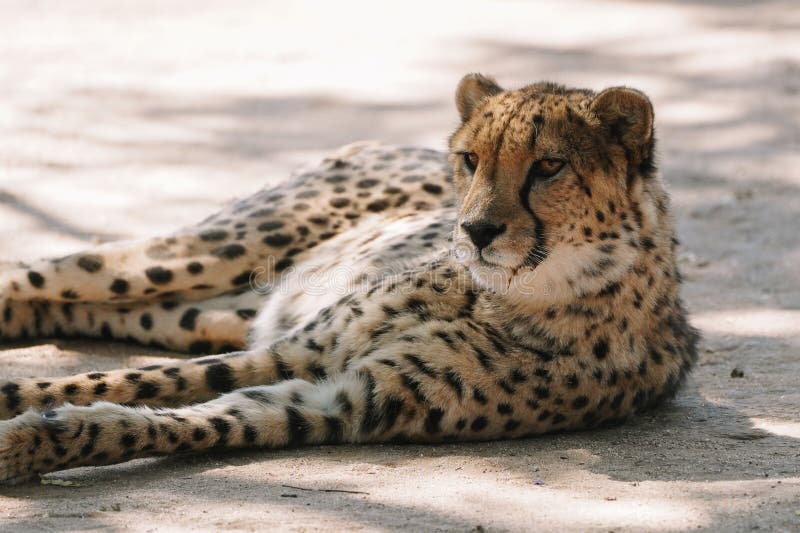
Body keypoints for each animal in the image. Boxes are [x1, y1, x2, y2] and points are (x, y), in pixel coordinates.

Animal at [0, 74, 698, 485]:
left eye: (549, 166)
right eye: (470, 159)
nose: (474, 231)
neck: (507, 295)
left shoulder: (344, 399)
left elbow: (195, 417)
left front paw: (33, 440)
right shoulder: (302, 350)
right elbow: (128, 381)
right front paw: (24, 413)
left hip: (204, 307)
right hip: (215, 249)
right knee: (49, 273)